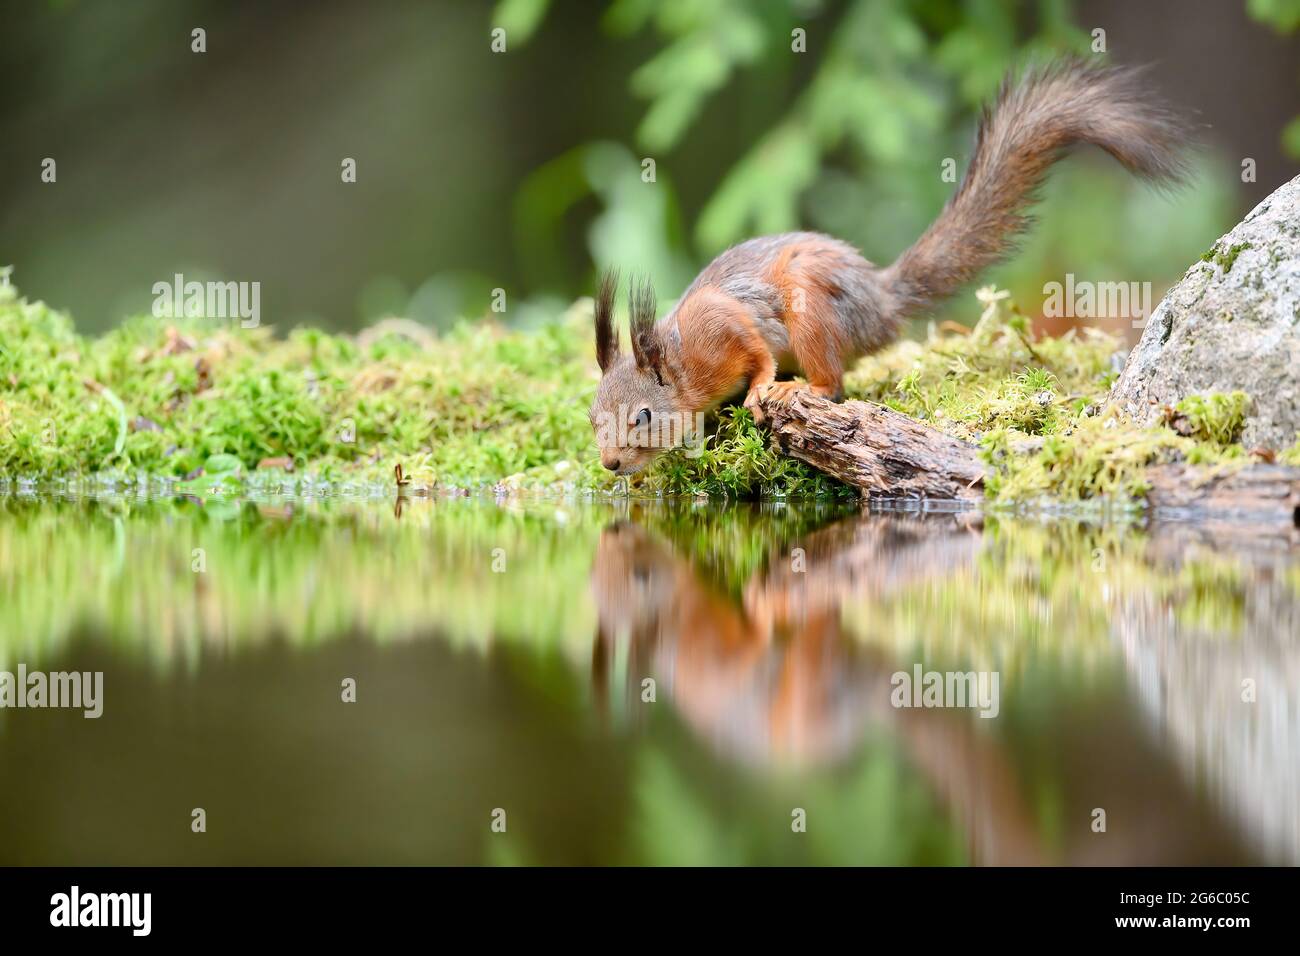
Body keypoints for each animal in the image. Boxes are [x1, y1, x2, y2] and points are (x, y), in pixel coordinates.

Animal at [589, 59, 1187, 475]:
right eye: (593, 418)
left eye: (642, 416)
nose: (611, 465)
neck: (680, 363)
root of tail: (880, 300)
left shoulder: (720, 325)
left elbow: (757, 353)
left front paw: (760, 389)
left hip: (812, 303)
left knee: (833, 382)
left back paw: (801, 389)